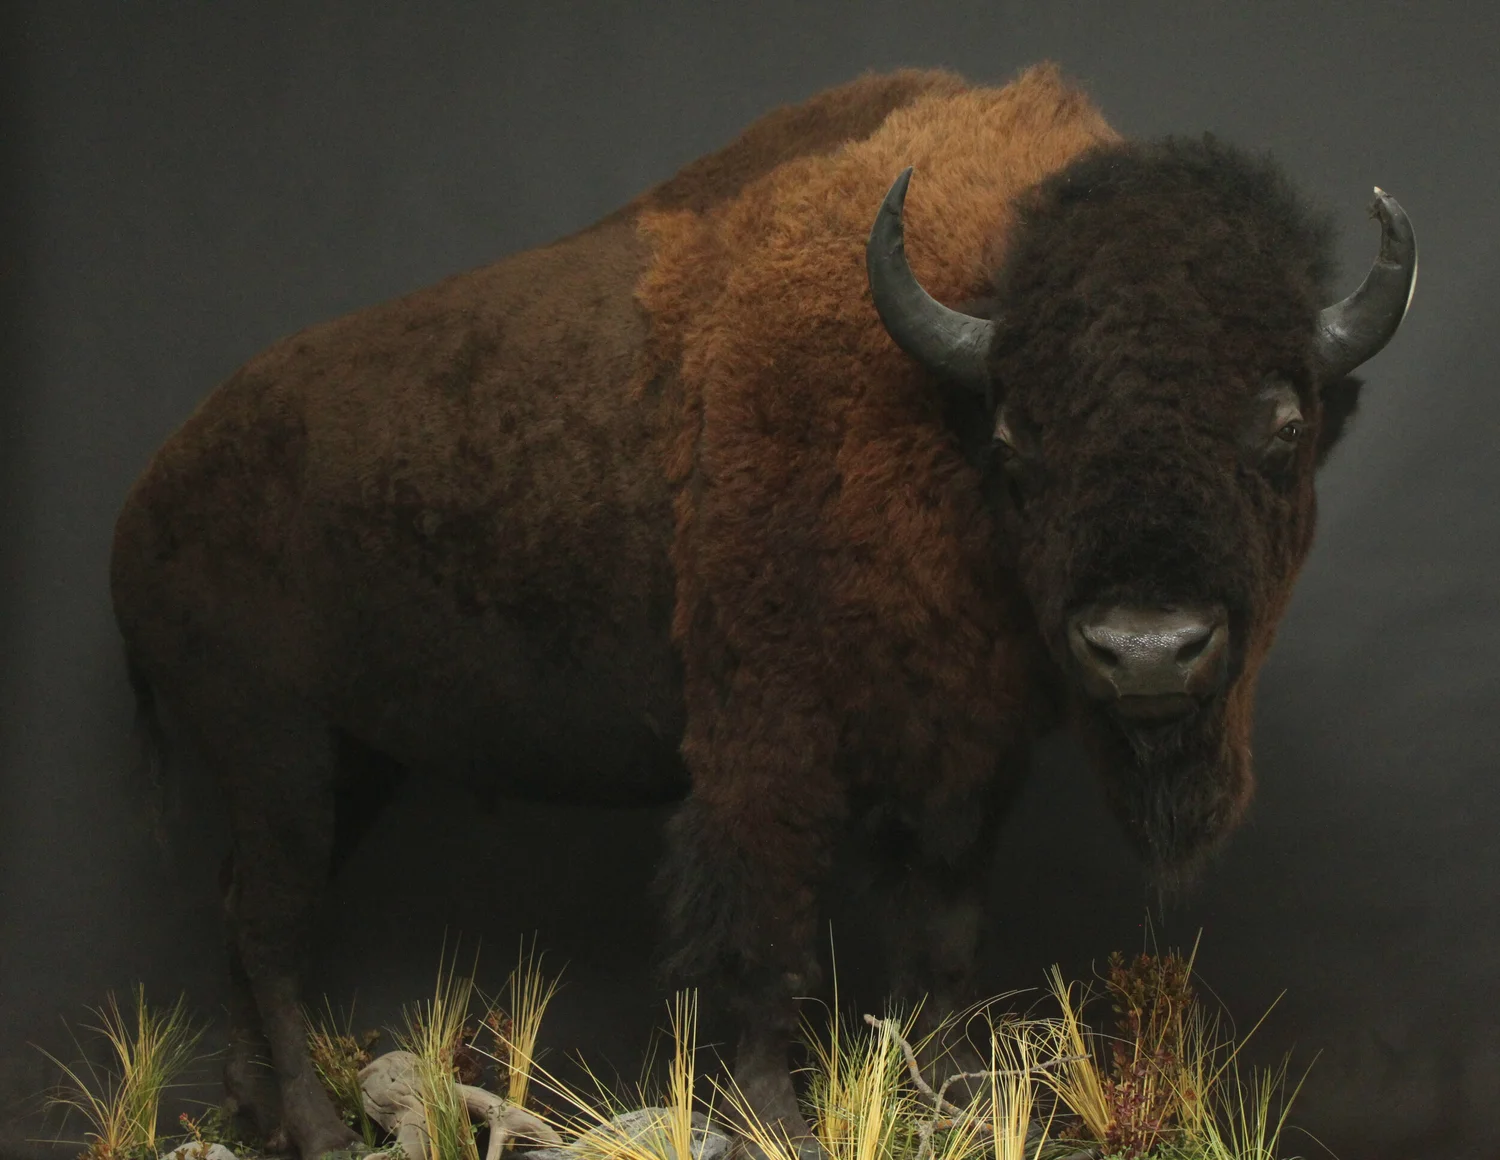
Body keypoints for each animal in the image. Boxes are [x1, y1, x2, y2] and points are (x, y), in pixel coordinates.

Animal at [110, 64, 1415, 1158]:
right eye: (1016, 436)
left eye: (1282, 421)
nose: (1147, 651)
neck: (927, 406)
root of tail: (147, 497)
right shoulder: (765, 750)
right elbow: (764, 936)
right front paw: (778, 1122)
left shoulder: (966, 762)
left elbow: (943, 937)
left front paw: (952, 1101)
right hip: (276, 755)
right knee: (268, 930)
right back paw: (319, 1127)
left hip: (351, 762)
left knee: (247, 919)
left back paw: (262, 1116)